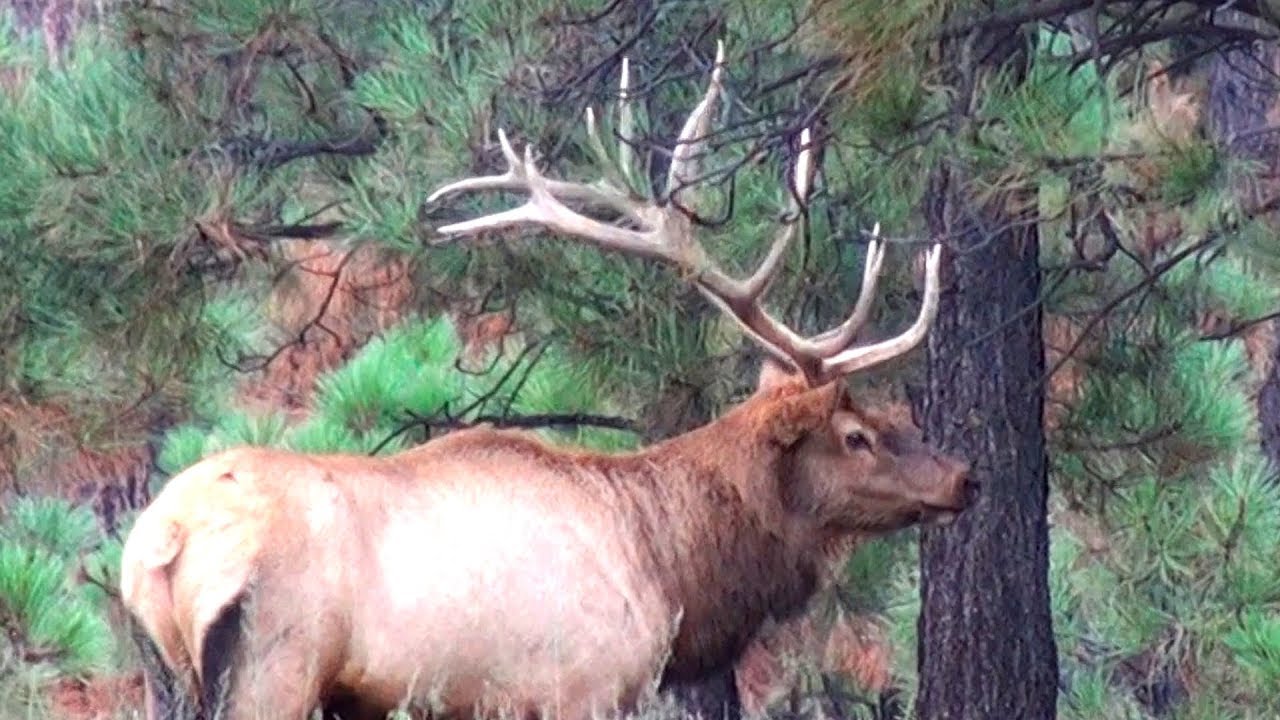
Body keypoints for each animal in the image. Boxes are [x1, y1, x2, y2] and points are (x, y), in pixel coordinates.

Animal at [119, 41, 975, 720]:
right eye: (857, 434)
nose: (964, 476)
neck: (668, 570)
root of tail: (160, 544)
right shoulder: (580, 686)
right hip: (274, 662)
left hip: (167, 672)